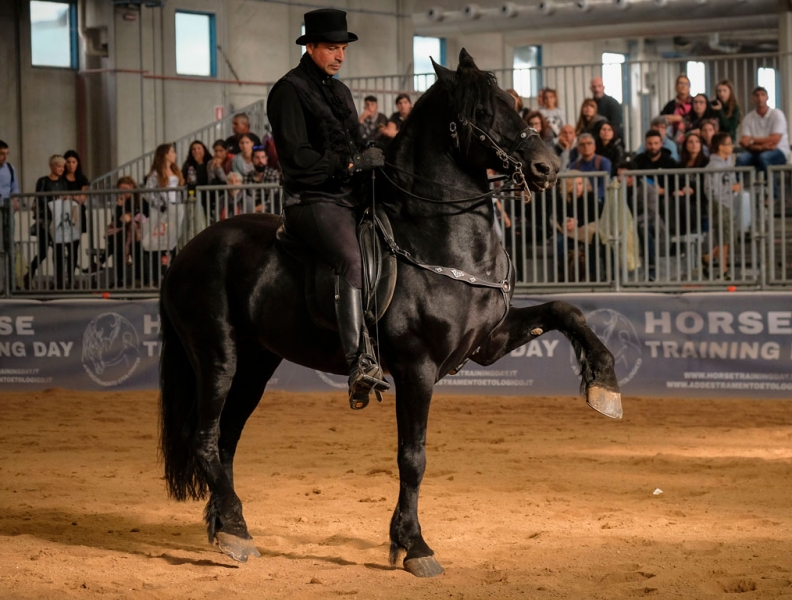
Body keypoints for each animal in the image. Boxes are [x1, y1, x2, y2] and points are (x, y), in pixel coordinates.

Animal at [159, 49, 622, 578]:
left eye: (515, 102)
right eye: (484, 112)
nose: (547, 167)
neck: (439, 237)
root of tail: (186, 253)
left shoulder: (489, 343)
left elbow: (566, 310)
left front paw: (605, 385)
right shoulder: (416, 369)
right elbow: (412, 458)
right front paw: (414, 545)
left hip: (255, 365)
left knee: (226, 440)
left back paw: (228, 526)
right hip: (217, 358)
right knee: (205, 437)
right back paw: (234, 530)